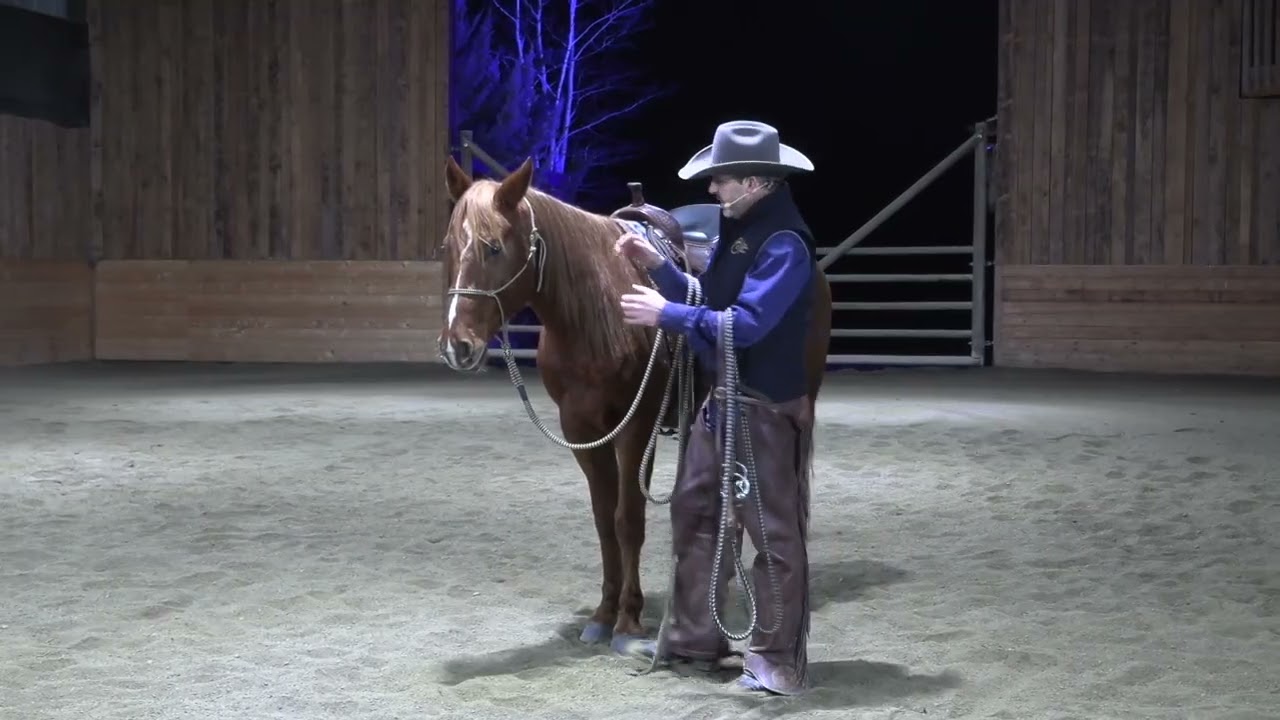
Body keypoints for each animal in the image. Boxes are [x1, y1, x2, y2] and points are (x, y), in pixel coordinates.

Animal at [435, 154, 834, 653]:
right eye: (449, 245)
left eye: (492, 247)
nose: (458, 346)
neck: (595, 310)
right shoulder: (581, 429)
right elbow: (604, 519)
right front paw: (603, 615)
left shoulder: (635, 426)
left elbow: (628, 519)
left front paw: (627, 622)